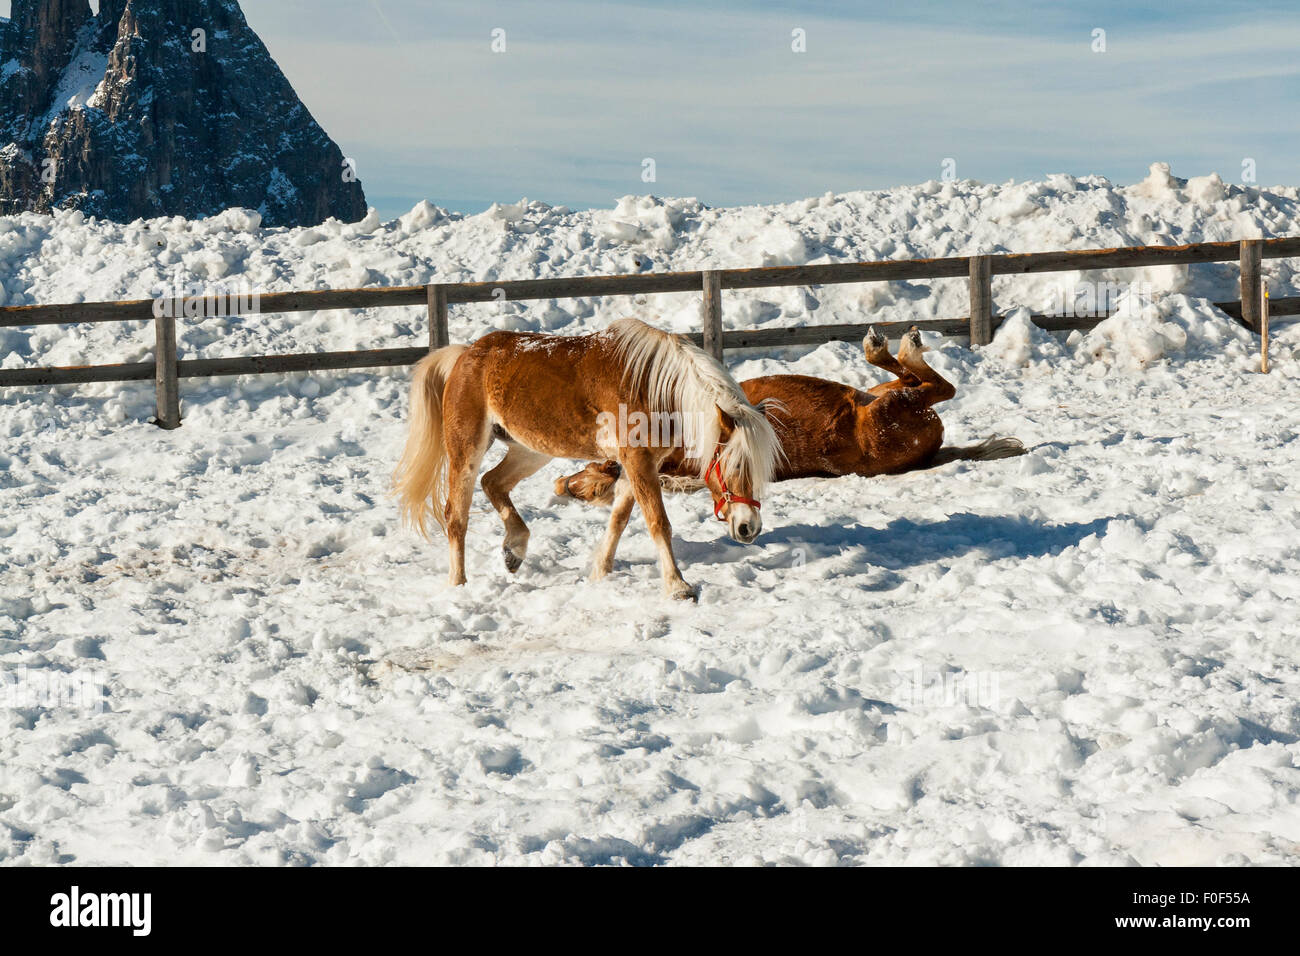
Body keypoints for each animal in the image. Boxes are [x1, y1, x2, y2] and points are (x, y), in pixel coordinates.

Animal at [393, 317, 781, 600]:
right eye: (735, 466)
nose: (749, 527)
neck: (650, 386)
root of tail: (465, 355)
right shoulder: (638, 461)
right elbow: (658, 522)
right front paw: (678, 586)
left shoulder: (641, 465)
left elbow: (619, 519)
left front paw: (600, 573)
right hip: (467, 449)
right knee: (456, 516)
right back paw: (459, 584)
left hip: (531, 449)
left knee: (494, 483)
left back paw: (514, 549)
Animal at [554, 325, 1024, 504]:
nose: (562, 484)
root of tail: (933, 449)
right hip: (891, 408)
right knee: (934, 385)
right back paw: (893, 344)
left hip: (879, 394)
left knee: (915, 377)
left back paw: (889, 343)